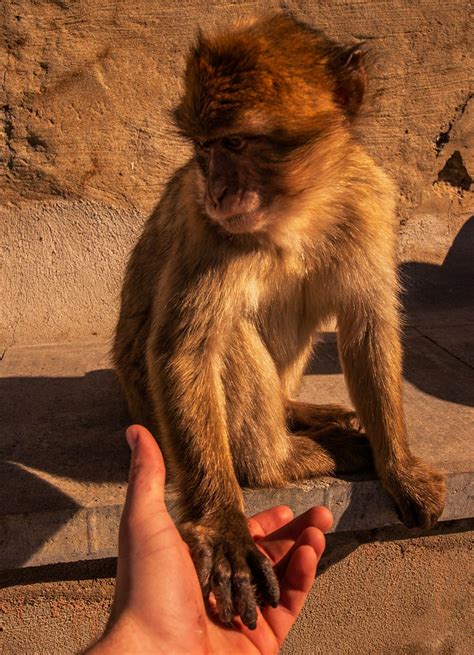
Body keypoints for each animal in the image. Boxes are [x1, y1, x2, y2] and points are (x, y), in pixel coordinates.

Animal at [113, 14, 446, 630]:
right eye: (204, 147)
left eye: (236, 143)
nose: (217, 189)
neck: (300, 210)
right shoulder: (205, 224)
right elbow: (184, 351)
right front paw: (225, 527)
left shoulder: (369, 202)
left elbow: (368, 328)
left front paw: (398, 464)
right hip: (147, 403)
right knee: (227, 335)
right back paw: (282, 459)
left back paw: (298, 413)